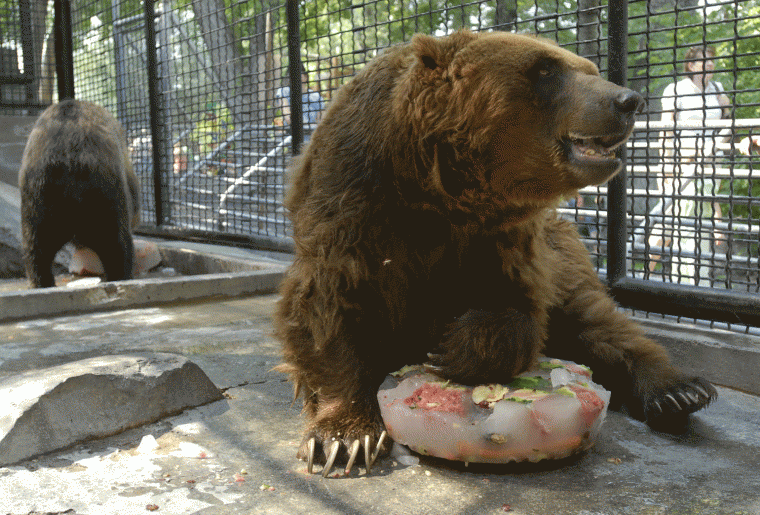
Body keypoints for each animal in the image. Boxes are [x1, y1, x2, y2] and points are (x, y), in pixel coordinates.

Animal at [19, 99, 140, 288]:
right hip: (104, 191)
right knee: (116, 242)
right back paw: (121, 276)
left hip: (39, 195)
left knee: (36, 248)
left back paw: (41, 283)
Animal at [275, 30, 718, 477]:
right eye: (546, 69)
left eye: (589, 69)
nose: (628, 100)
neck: (438, 193)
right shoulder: (354, 200)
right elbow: (327, 308)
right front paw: (344, 437)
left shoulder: (501, 239)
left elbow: (517, 305)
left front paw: (452, 345)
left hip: (563, 252)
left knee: (595, 321)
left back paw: (678, 391)